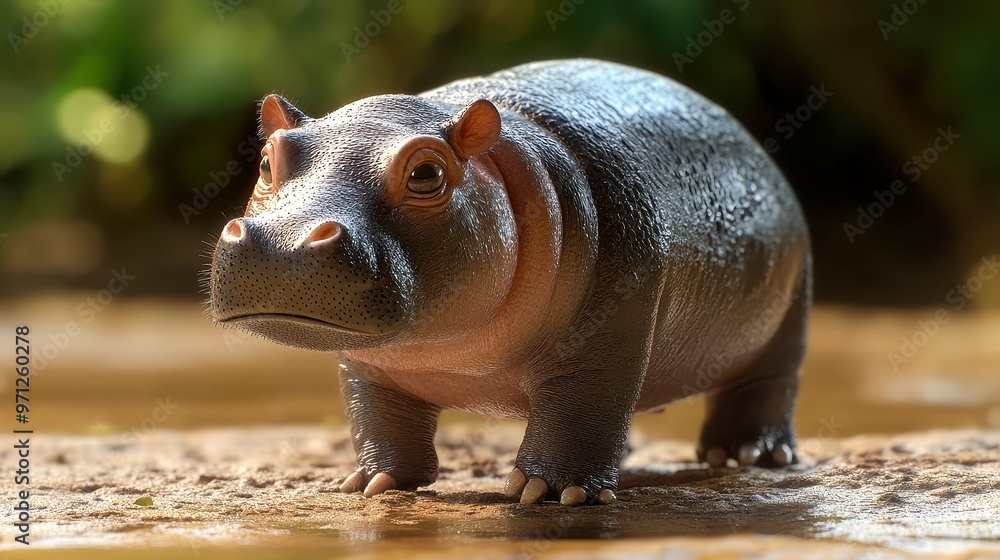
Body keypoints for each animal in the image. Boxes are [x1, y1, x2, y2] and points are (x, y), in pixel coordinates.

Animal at [209, 59, 811, 506]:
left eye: (426, 172)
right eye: (267, 161)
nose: (284, 241)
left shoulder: (609, 330)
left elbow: (580, 403)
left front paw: (552, 492)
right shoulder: (368, 360)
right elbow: (378, 410)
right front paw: (373, 482)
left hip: (789, 311)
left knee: (766, 384)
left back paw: (748, 454)